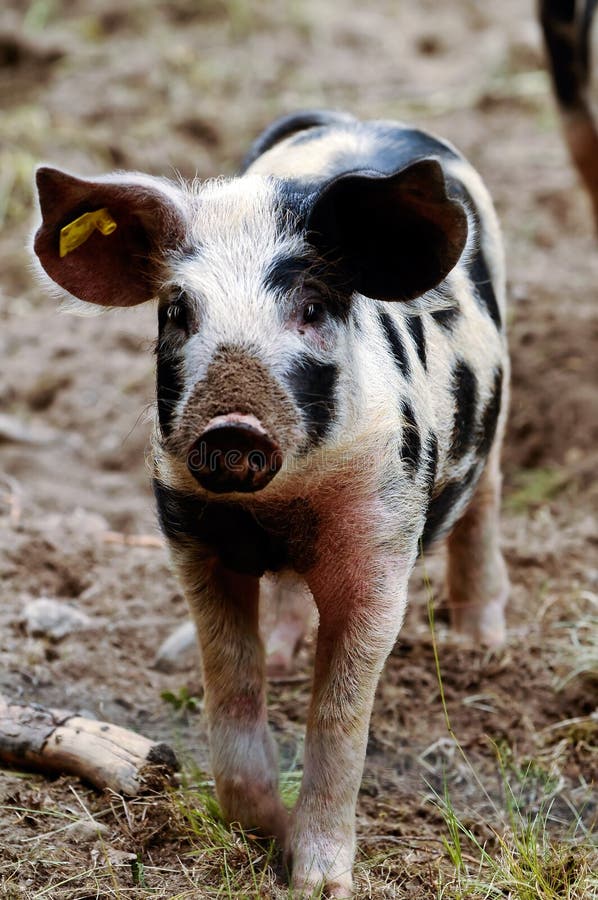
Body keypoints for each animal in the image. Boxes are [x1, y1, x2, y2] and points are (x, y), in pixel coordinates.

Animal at [33, 109, 509, 898]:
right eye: (177, 310)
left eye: (311, 307)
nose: (233, 426)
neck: (284, 505)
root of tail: (354, 117)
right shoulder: (191, 537)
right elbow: (229, 686)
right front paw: (265, 832)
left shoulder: (382, 543)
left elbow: (340, 720)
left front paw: (317, 881)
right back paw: (272, 658)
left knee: (485, 503)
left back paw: (482, 643)